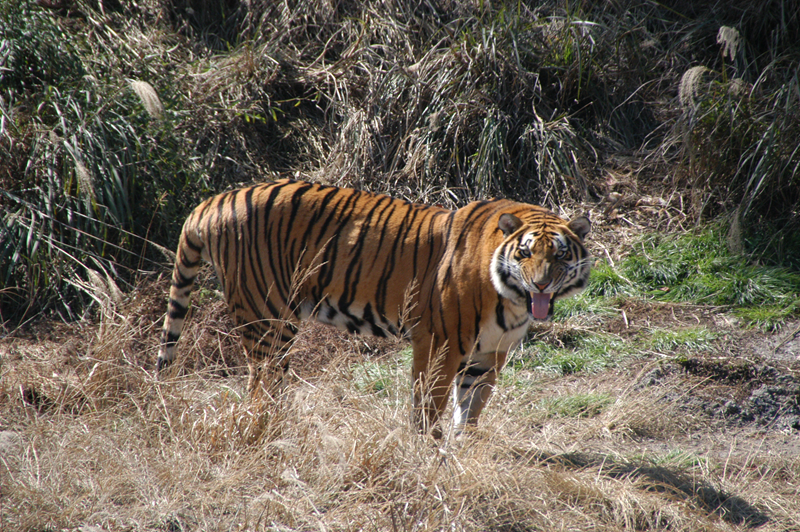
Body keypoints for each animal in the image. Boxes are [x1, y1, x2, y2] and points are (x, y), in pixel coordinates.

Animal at [157, 179, 591, 436]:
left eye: (559, 255)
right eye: (525, 253)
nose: (541, 284)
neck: (512, 299)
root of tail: (214, 200)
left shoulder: (489, 356)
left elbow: (470, 410)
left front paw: (460, 451)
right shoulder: (440, 343)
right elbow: (429, 405)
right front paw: (425, 451)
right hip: (268, 318)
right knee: (259, 386)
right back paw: (273, 432)